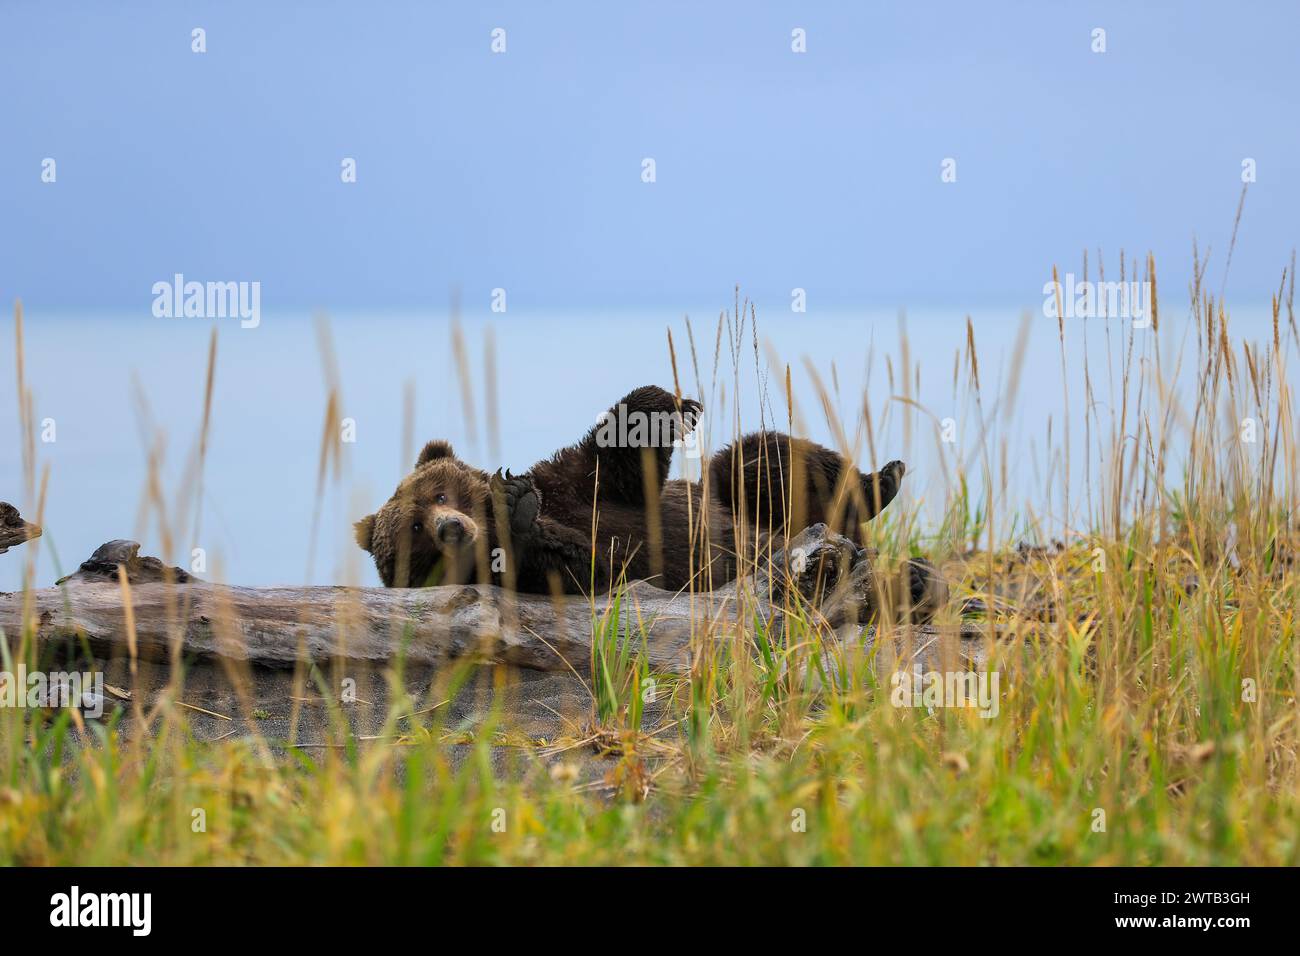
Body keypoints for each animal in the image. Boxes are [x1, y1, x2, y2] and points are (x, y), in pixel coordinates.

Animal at [354, 385, 905, 596]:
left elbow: (615, 462)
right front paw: (515, 510)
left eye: (439, 494)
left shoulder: (573, 483)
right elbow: (580, 565)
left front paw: (675, 406)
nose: (450, 527)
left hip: (745, 493)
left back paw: (884, 478)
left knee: (756, 459)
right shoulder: (582, 563)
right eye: (415, 536)